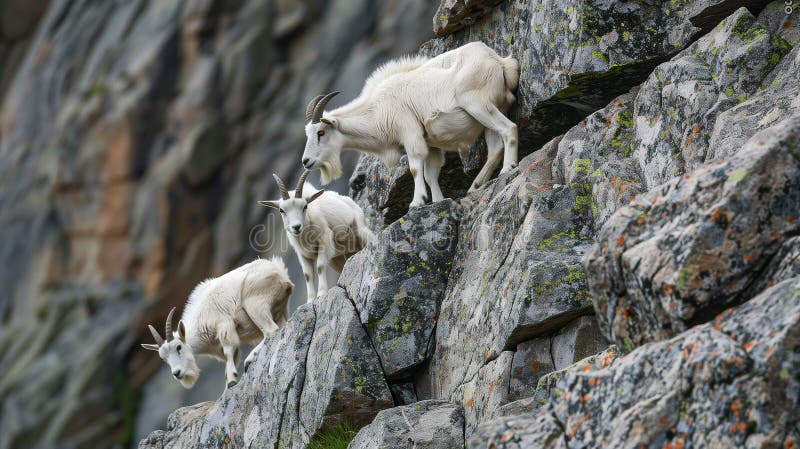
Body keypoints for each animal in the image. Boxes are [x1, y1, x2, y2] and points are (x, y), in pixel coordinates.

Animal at [141, 258, 293, 390]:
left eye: (179, 347)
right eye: (163, 358)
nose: (177, 373)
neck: (201, 317)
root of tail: (281, 274)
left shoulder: (224, 326)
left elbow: (229, 351)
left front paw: (231, 380)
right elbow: (231, 358)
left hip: (255, 304)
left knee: (270, 331)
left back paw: (249, 359)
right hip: (280, 312)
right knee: (278, 328)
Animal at [259, 170, 374, 302]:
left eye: (305, 206)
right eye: (281, 210)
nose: (296, 227)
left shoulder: (324, 242)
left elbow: (319, 267)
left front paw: (321, 293)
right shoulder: (302, 254)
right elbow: (307, 275)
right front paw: (310, 300)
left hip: (360, 228)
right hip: (339, 257)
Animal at [300, 41, 519, 207]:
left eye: (321, 132)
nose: (305, 161)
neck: (377, 110)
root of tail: (499, 62)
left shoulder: (410, 133)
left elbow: (415, 168)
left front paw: (417, 202)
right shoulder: (431, 145)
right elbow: (431, 174)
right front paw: (438, 200)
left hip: (478, 105)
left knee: (509, 129)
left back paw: (507, 168)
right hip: (489, 114)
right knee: (495, 148)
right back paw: (476, 185)